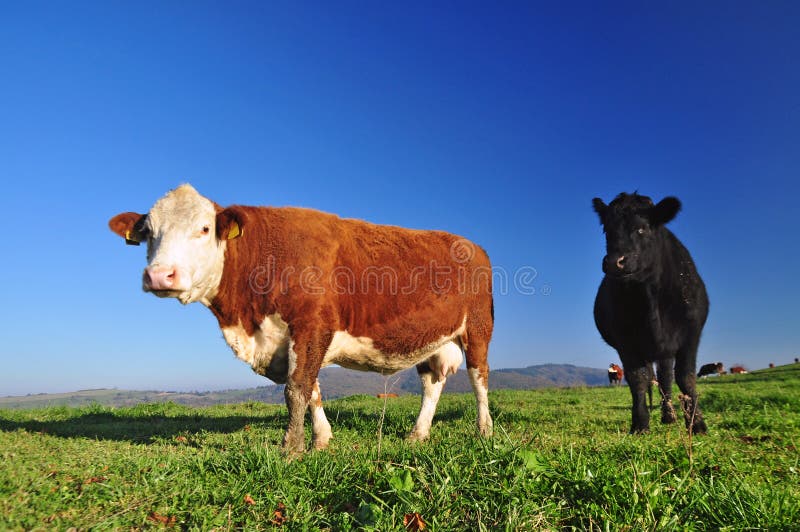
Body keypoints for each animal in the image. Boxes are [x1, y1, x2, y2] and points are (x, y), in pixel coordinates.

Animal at [109, 184, 494, 454]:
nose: (160, 276)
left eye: (204, 228)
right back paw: (418, 433)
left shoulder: (311, 326)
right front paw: (321, 440)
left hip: (477, 329)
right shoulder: (291, 338)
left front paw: (290, 449)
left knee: (479, 378)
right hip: (433, 339)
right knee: (433, 383)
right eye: (148, 233)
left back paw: (485, 429)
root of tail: (472, 245)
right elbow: (312, 391)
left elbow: (296, 389)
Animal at [592, 192, 709, 435]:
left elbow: (686, 377)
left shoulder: (691, 333)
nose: (615, 262)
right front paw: (640, 424)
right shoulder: (625, 341)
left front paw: (697, 423)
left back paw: (669, 415)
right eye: (607, 230)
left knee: (665, 379)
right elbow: (638, 379)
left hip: (665, 352)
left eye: (642, 228)